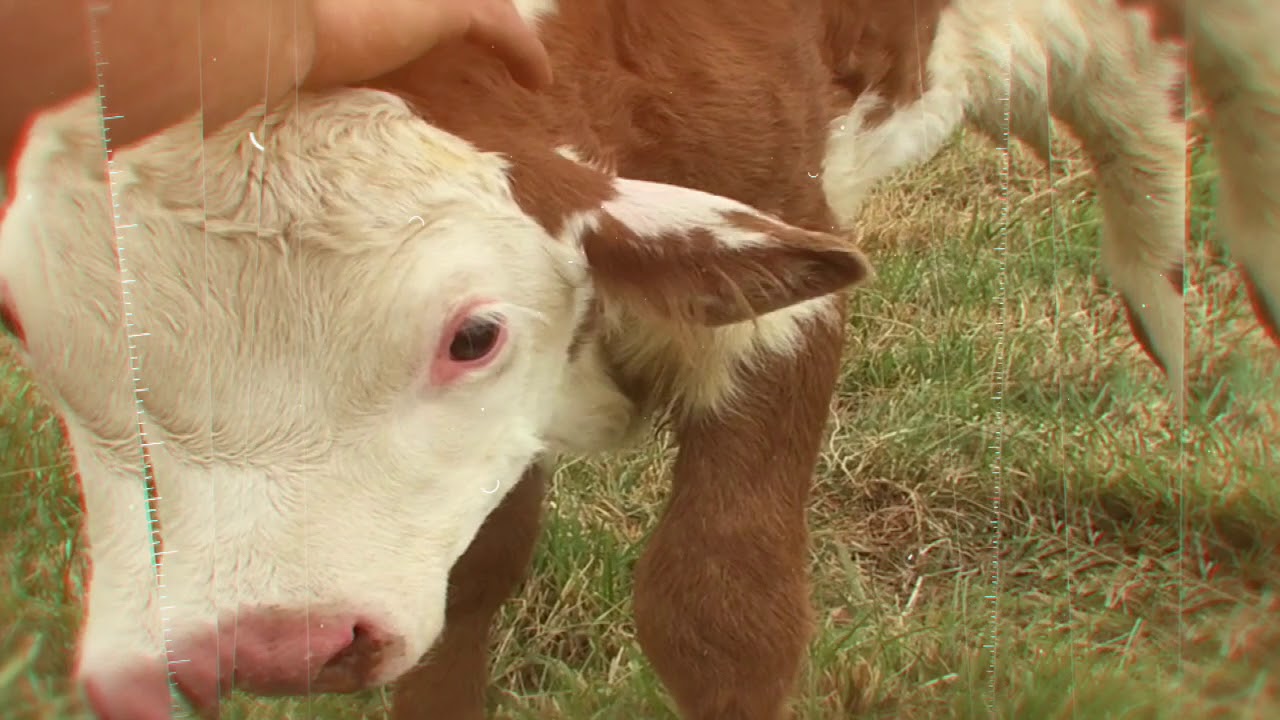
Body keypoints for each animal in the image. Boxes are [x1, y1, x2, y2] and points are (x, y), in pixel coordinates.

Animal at [0, 0, 1273, 719]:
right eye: (42, 340)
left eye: (473, 335)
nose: (270, 646)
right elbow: (470, 586)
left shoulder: (777, 273)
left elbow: (720, 608)